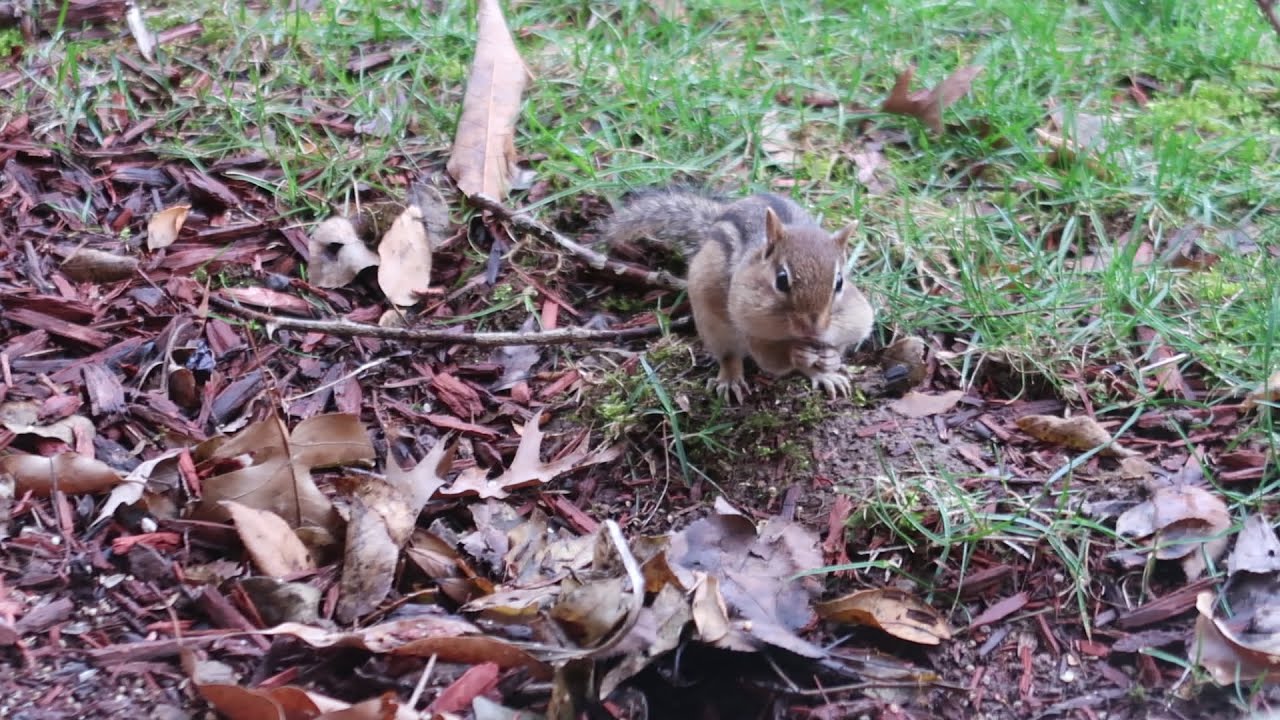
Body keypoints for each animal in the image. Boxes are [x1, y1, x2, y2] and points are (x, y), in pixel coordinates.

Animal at [603, 189, 874, 402]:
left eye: (839, 282)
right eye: (781, 279)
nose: (813, 328)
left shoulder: (854, 318)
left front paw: (830, 360)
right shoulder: (751, 324)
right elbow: (771, 358)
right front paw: (795, 353)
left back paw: (825, 375)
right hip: (713, 324)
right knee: (728, 355)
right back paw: (731, 379)